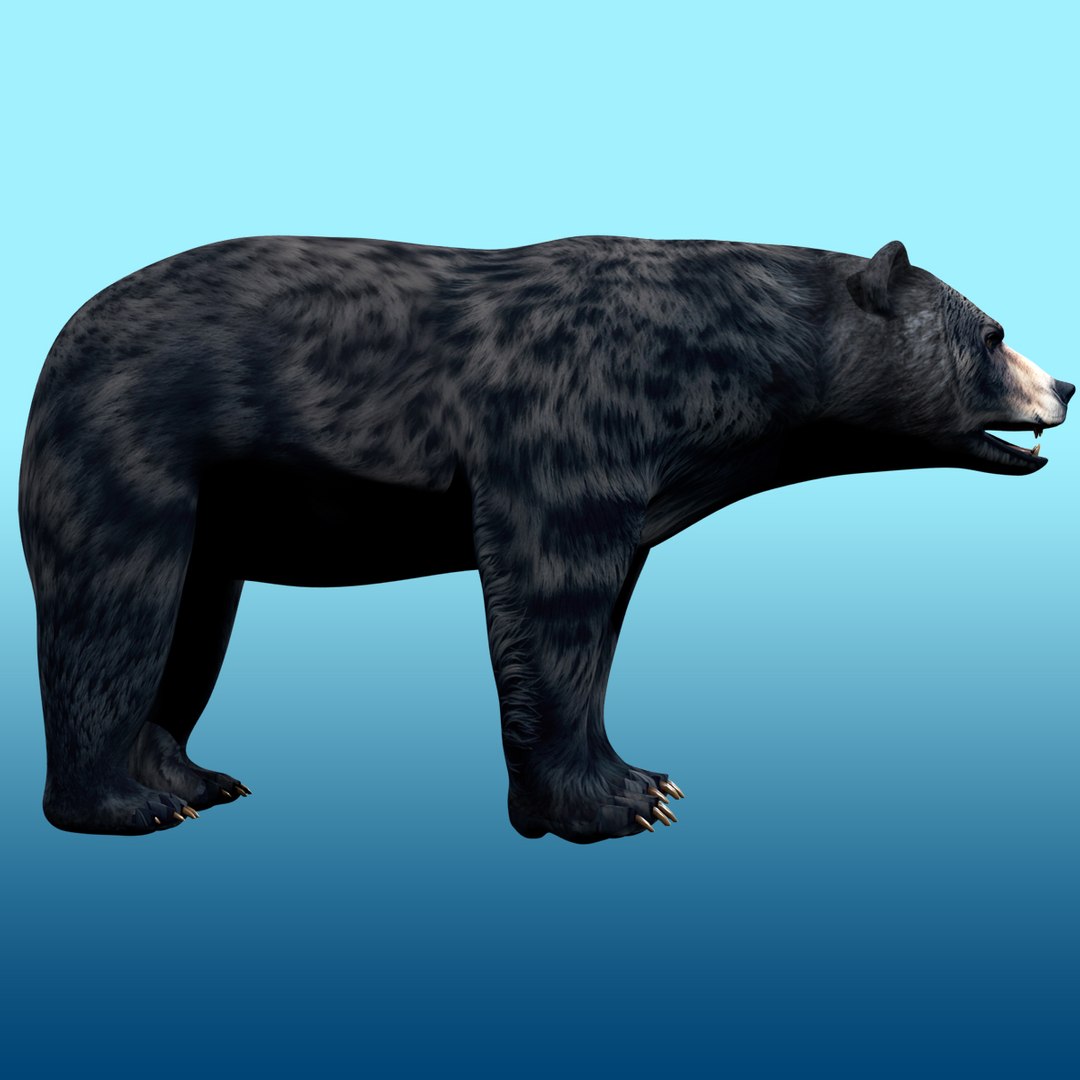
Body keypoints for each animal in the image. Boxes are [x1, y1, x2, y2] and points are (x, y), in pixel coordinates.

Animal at [19, 236, 1073, 842]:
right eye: (993, 333)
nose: (1062, 385)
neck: (724, 355)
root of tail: (60, 341)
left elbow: (603, 616)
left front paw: (636, 776)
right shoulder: (576, 416)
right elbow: (554, 591)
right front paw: (608, 807)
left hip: (219, 506)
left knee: (195, 616)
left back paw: (190, 778)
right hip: (132, 446)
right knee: (118, 608)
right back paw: (121, 805)